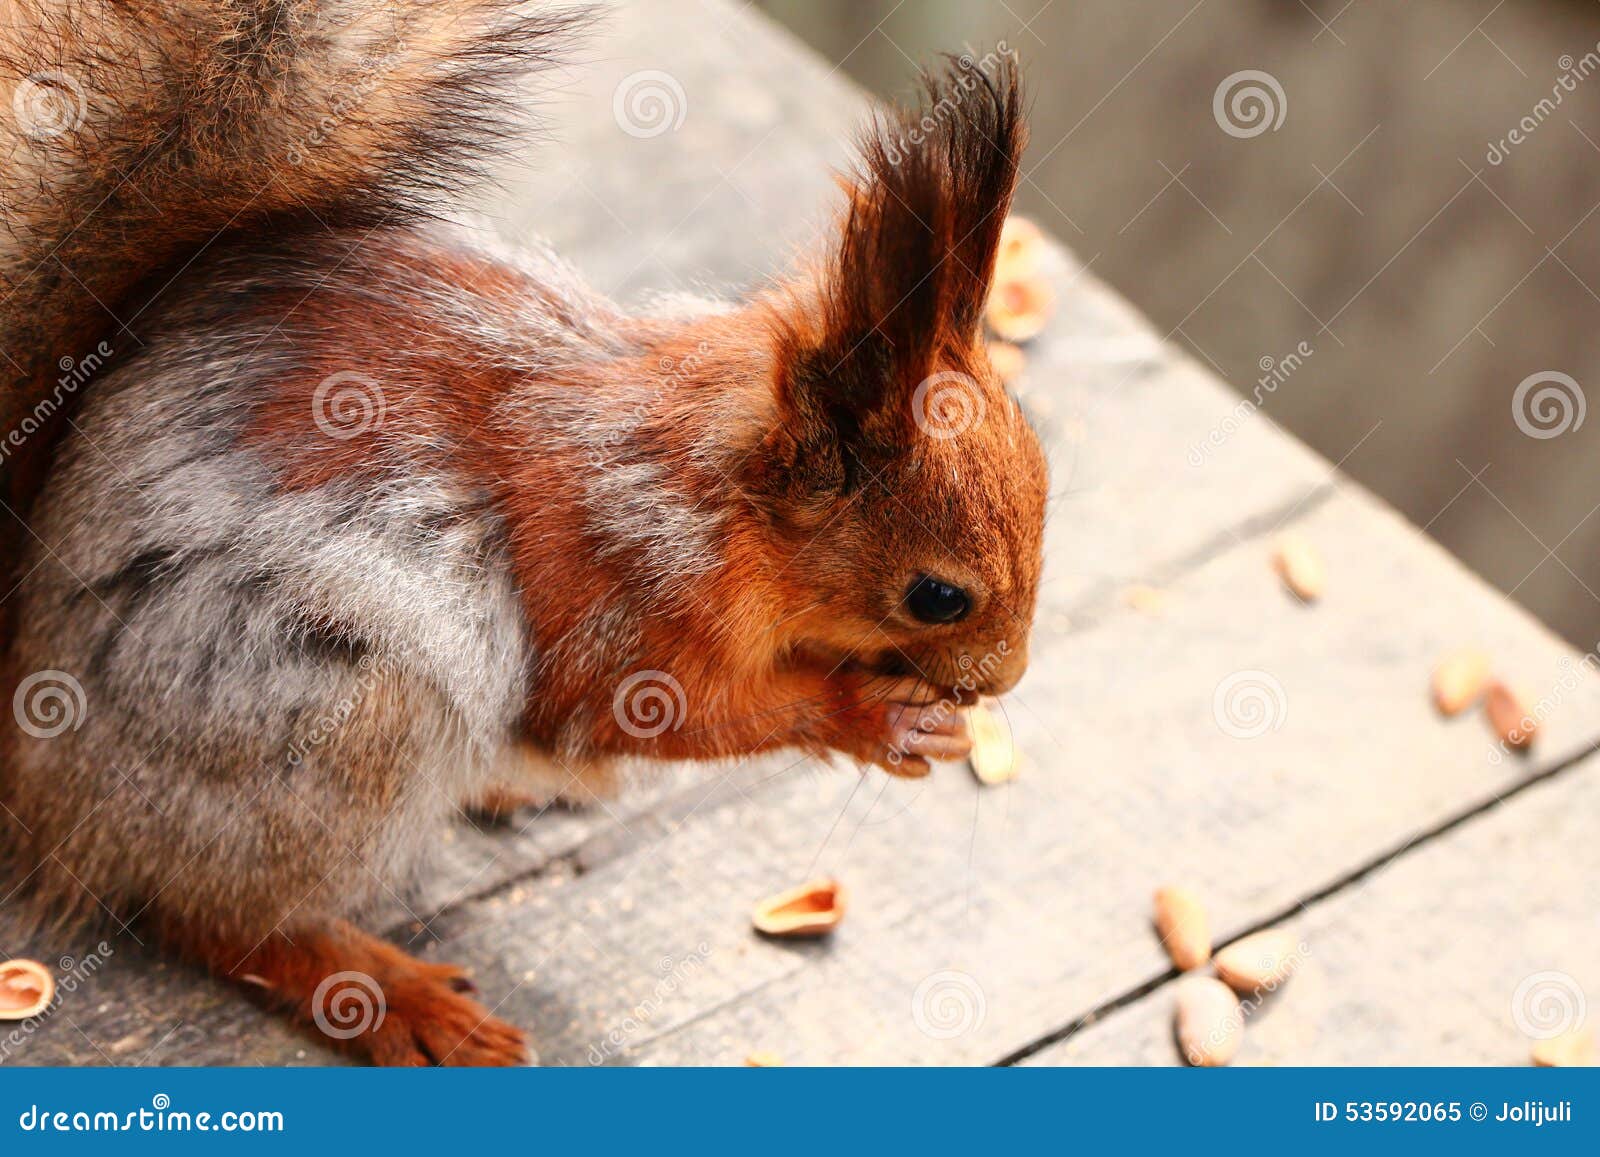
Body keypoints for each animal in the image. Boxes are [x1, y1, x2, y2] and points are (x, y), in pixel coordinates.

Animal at [0, 1, 1046, 1065]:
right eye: (936, 595)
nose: (1007, 677)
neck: (719, 503)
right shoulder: (625, 600)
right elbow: (664, 713)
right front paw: (873, 715)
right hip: (326, 721)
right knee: (212, 915)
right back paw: (389, 992)